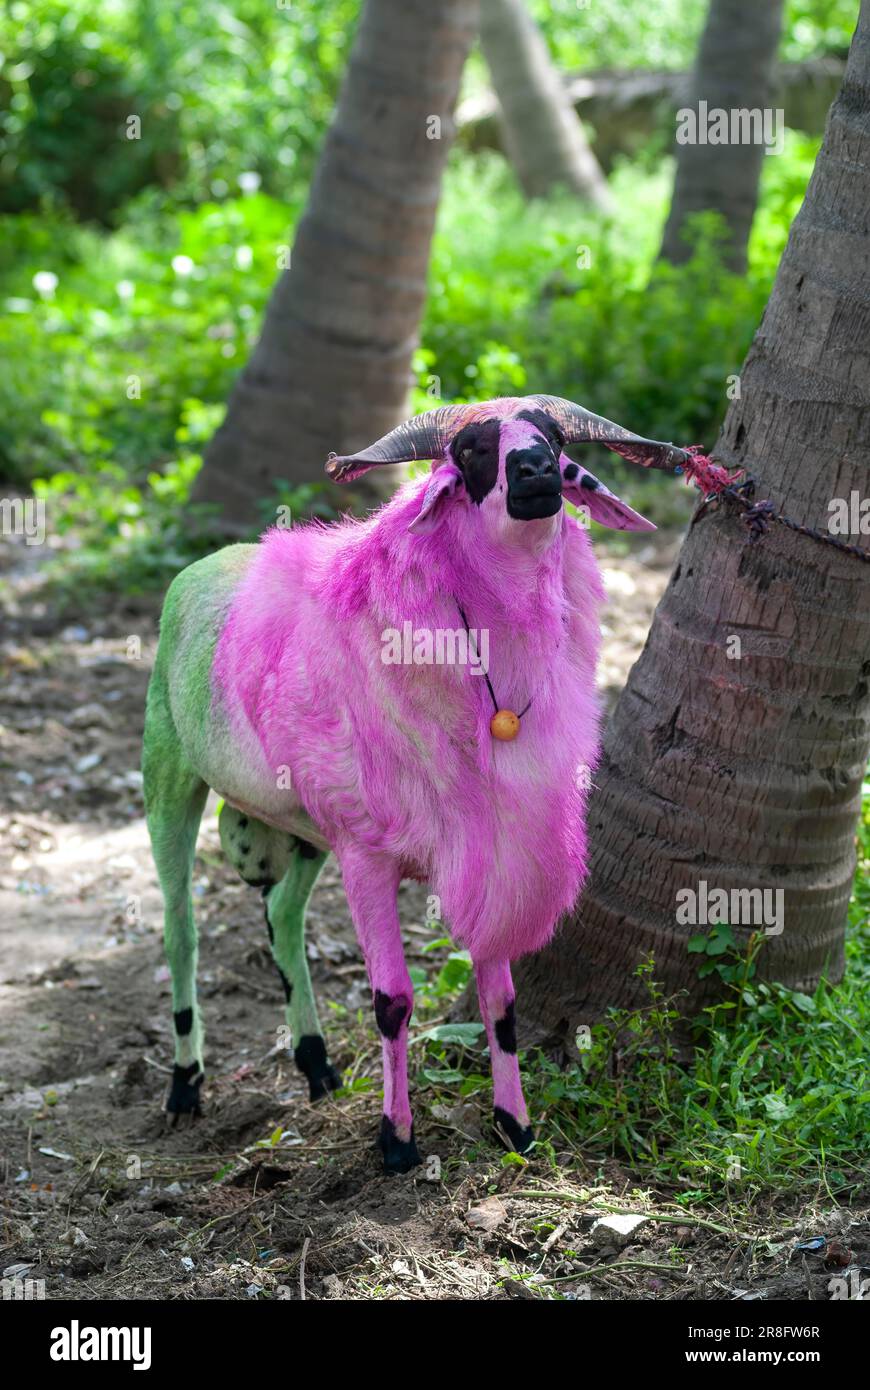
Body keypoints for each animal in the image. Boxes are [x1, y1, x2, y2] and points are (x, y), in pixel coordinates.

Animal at [143, 394, 690, 1172]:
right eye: (470, 452)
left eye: (554, 438)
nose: (534, 472)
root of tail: (210, 563)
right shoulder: (368, 858)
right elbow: (392, 1001)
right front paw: (397, 1141)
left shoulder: (490, 842)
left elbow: (501, 1001)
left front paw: (515, 1126)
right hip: (168, 773)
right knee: (181, 931)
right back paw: (185, 1085)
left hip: (310, 832)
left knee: (282, 914)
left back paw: (316, 1066)